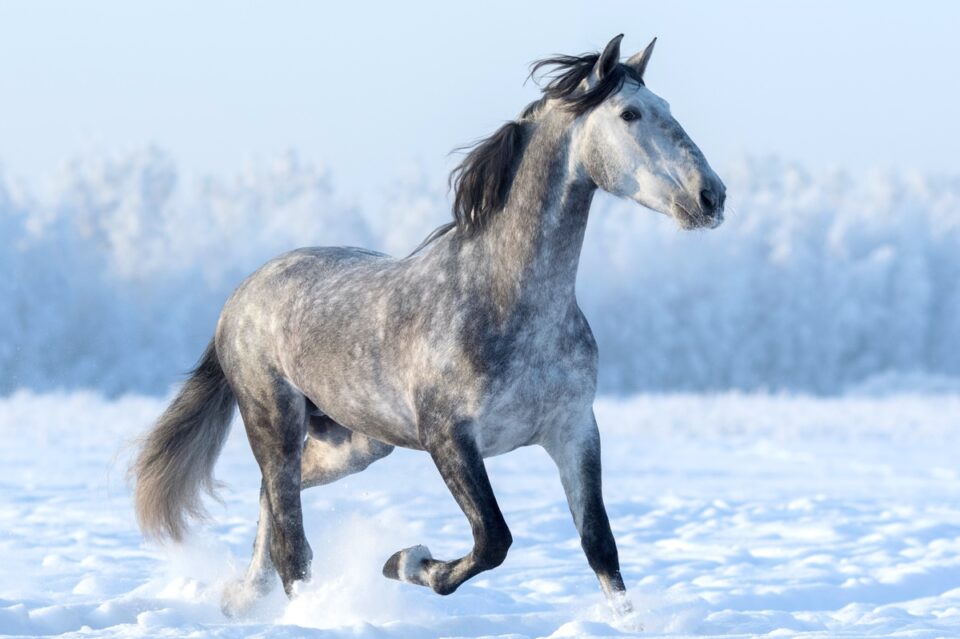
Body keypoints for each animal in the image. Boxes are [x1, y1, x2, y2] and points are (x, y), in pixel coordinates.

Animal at [131, 33, 726, 617]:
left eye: (665, 106)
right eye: (629, 114)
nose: (712, 197)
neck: (508, 305)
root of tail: (240, 295)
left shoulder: (574, 430)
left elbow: (599, 544)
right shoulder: (449, 437)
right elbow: (493, 539)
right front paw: (407, 561)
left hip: (356, 443)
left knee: (274, 501)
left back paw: (244, 597)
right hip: (274, 420)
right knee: (288, 534)